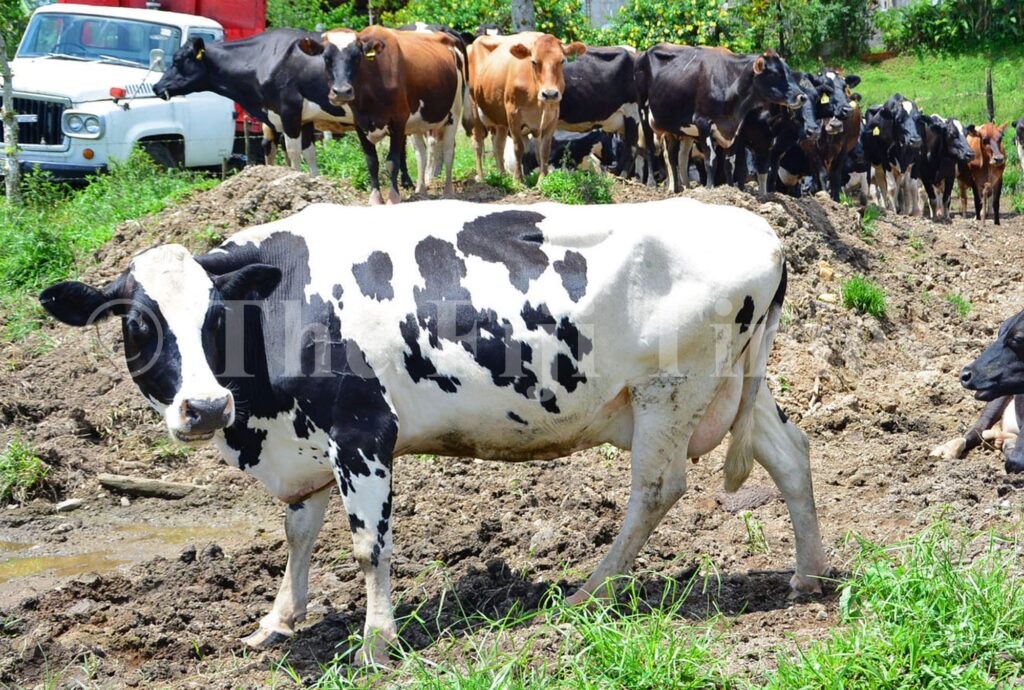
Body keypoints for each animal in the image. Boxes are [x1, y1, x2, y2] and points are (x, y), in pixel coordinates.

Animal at [38, 198, 826, 666]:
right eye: (139, 323)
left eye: (213, 317)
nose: (204, 408)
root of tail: (758, 227)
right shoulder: (305, 443)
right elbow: (296, 534)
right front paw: (278, 620)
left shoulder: (362, 428)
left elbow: (367, 546)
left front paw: (375, 643)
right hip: (742, 386)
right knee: (791, 455)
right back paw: (808, 576)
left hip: (670, 391)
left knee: (657, 488)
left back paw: (590, 593)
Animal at [154, 30, 352, 177]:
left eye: (177, 60)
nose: (157, 87)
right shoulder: (303, 118)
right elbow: (309, 153)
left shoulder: (289, 111)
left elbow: (293, 151)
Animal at [298, 26, 465, 204]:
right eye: (326, 58)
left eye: (357, 57)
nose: (342, 91)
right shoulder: (359, 123)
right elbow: (371, 162)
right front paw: (375, 198)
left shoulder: (398, 122)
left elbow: (392, 161)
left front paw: (393, 197)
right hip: (419, 123)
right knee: (421, 153)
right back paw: (421, 191)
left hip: (453, 113)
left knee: (448, 150)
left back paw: (448, 191)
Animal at [469, 32, 587, 183]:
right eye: (534, 62)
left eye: (562, 61)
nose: (550, 94)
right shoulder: (513, 115)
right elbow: (518, 147)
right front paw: (518, 179)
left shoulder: (552, 117)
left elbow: (544, 150)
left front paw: (542, 179)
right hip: (474, 109)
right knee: (477, 143)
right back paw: (481, 177)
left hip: (500, 119)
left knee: (498, 144)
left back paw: (502, 174)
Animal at [636, 46, 807, 193]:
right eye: (776, 74)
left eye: (789, 73)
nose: (802, 96)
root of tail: (647, 51)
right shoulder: (703, 123)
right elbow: (711, 160)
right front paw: (710, 188)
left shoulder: (735, 129)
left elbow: (729, 163)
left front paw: (730, 188)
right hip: (644, 111)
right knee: (651, 150)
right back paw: (653, 183)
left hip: (675, 128)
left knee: (676, 157)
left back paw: (681, 187)